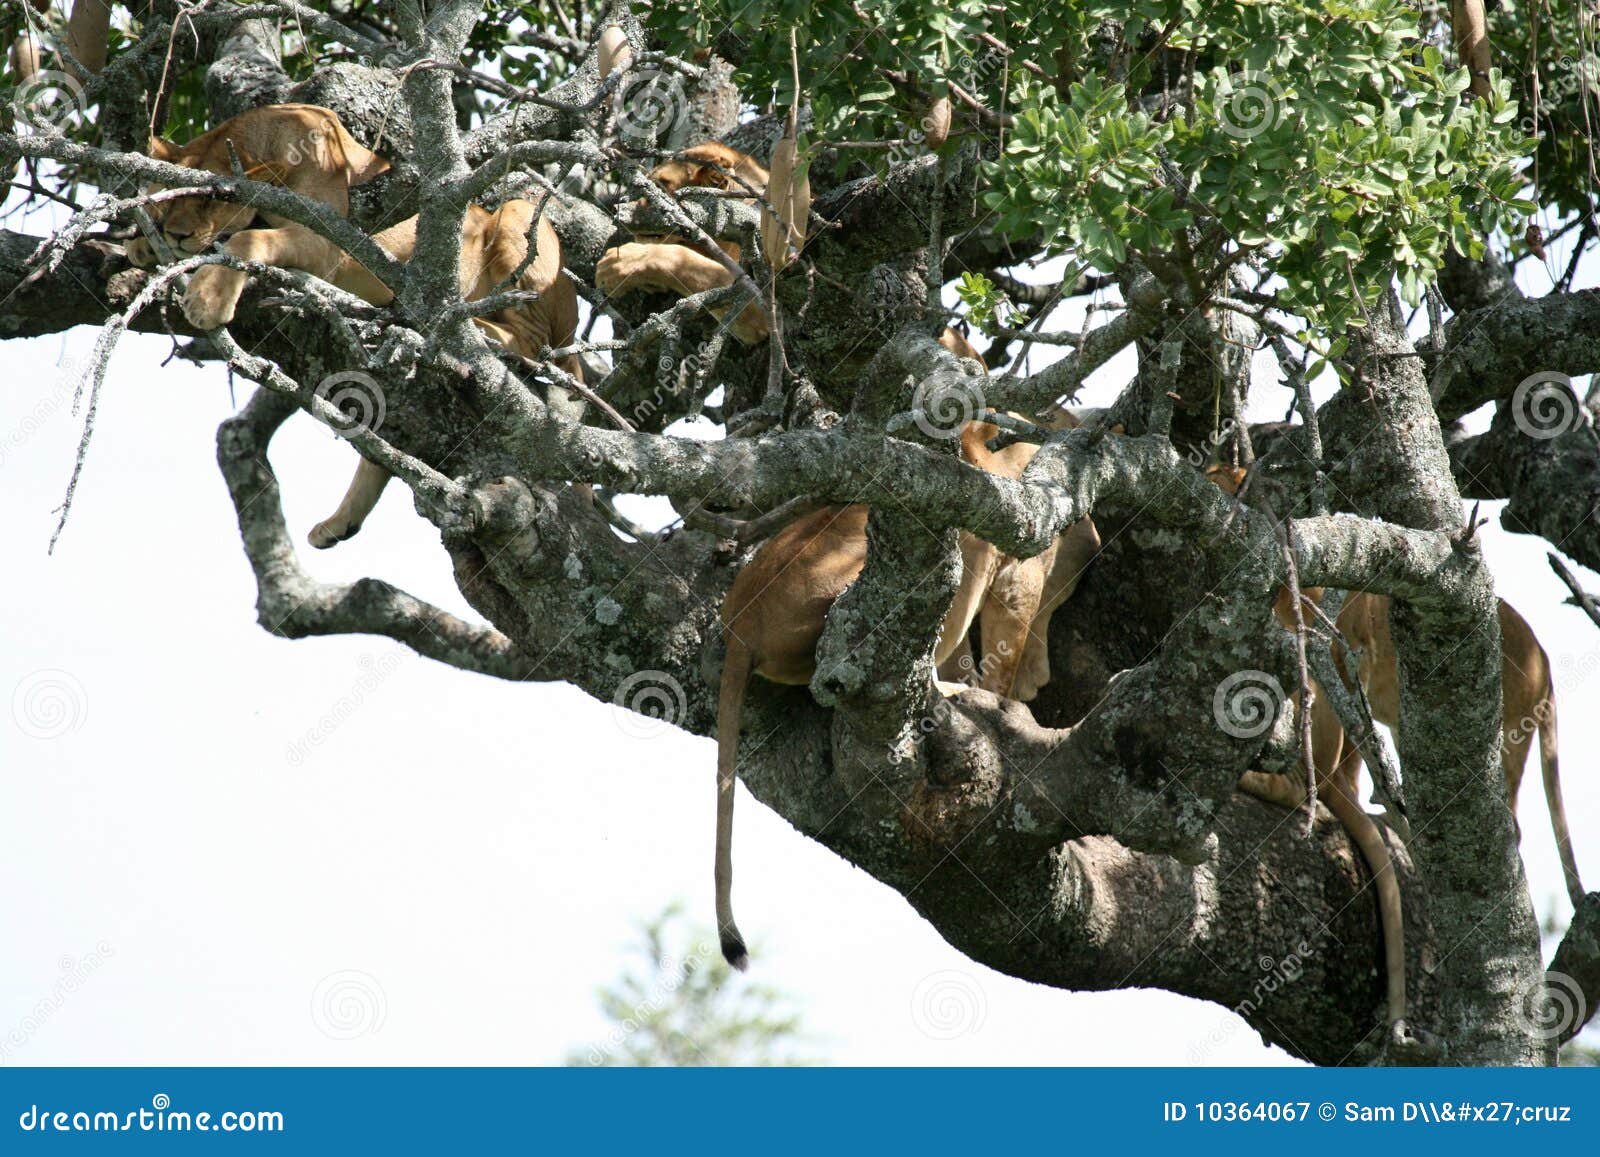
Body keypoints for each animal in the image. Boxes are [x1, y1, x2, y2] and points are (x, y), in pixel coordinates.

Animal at [126, 104, 580, 548]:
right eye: (170, 199)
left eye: (212, 200)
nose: (177, 235)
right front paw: (142, 243)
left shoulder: (325, 239)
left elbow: (247, 240)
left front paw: (208, 298)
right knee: (384, 439)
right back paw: (338, 523)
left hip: (518, 216)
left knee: (532, 340)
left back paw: (470, 325)